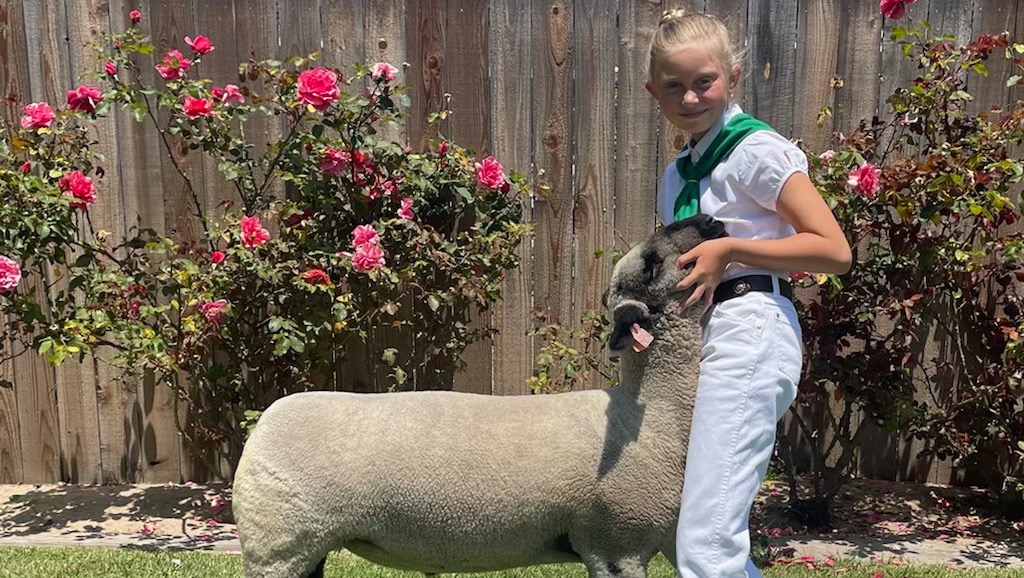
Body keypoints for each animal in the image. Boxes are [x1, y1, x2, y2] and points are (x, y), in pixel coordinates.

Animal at [231, 214, 728, 578]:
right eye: (651, 263)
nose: (711, 221)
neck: (651, 412)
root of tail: (264, 424)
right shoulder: (614, 541)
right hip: (279, 543)